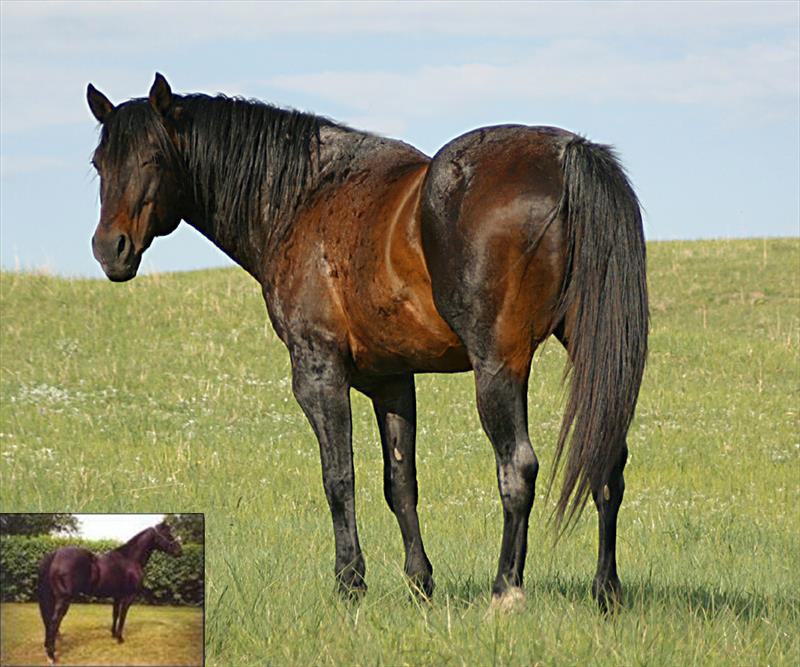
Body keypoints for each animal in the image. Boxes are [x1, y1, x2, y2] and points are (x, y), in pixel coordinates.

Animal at [38, 522, 181, 664]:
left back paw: (47, 647)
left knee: (48, 619)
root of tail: (55, 554)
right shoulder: (129, 596)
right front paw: (120, 638)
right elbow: (123, 616)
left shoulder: (117, 596)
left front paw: (113, 634)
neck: (130, 559)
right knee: (54, 621)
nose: (179, 550)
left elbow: (115, 614)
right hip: (64, 599)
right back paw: (51, 655)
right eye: (167, 533)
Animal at [86, 74, 648, 613]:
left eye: (155, 158)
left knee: (517, 469)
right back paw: (606, 591)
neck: (302, 199)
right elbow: (400, 483)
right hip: (594, 358)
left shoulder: (319, 374)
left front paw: (350, 581)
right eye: (98, 163)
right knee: (607, 460)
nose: (109, 249)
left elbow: (339, 478)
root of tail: (565, 155)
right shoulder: (391, 380)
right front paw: (420, 583)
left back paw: (506, 591)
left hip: (498, 367)